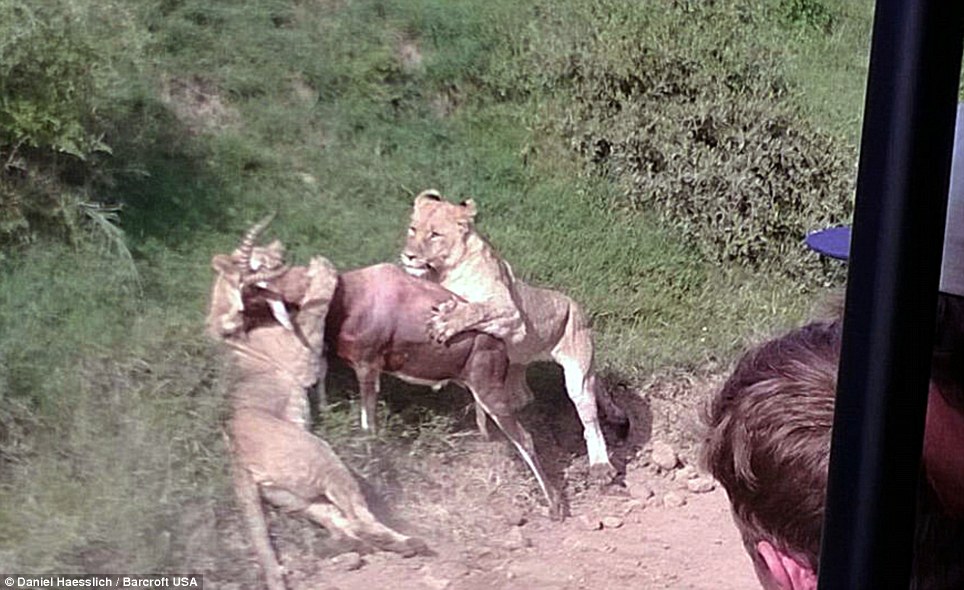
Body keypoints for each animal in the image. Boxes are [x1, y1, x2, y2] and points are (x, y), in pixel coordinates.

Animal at [400, 190, 627, 482]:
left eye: (435, 234)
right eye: (413, 229)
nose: (408, 256)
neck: (442, 273)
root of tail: (576, 305)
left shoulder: (511, 313)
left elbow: (476, 308)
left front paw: (447, 321)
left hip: (579, 374)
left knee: (590, 422)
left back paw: (600, 466)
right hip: (519, 368)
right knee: (525, 396)